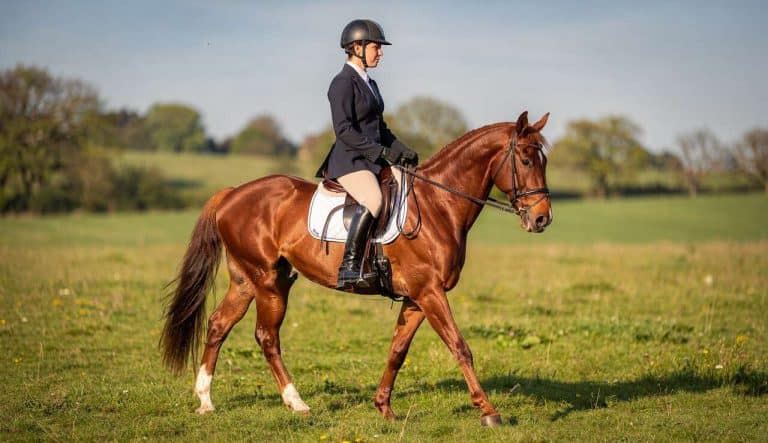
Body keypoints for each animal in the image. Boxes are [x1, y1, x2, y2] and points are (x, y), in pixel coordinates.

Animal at [160, 111, 552, 427]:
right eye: (526, 160)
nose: (542, 219)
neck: (438, 205)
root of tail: (231, 194)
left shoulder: (416, 298)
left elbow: (397, 351)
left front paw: (384, 408)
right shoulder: (430, 292)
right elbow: (460, 346)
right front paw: (488, 412)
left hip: (246, 281)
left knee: (218, 325)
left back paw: (206, 401)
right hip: (268, 282)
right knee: (266, 337)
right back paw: (297, 403)